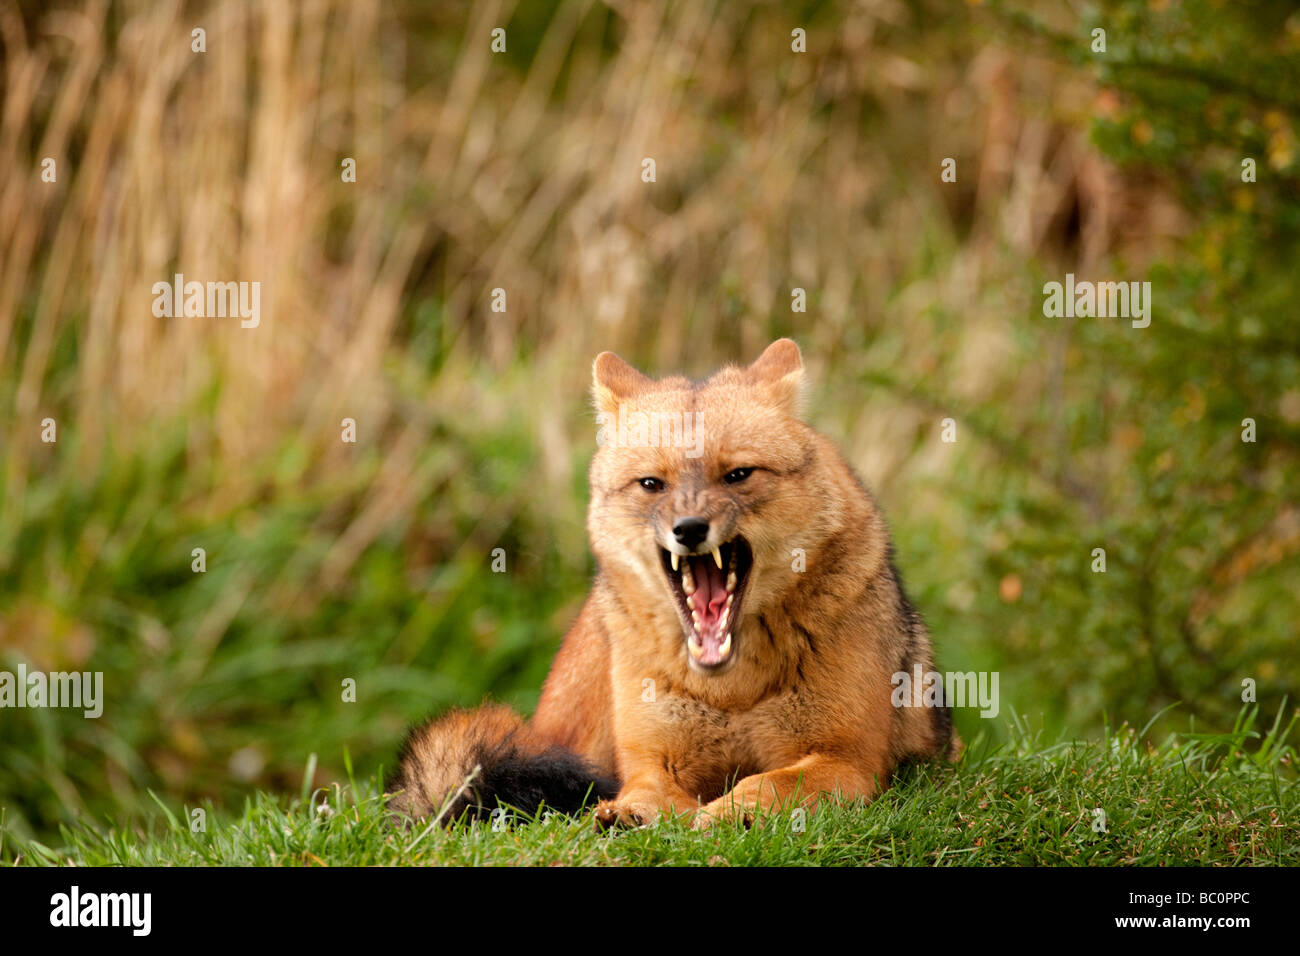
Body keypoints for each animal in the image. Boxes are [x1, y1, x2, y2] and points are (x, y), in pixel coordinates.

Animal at [386, 339, 960, 829]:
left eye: (738, 475)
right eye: (651, 484)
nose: (689, 529)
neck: (731, 689)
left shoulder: (849, 760)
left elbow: (769, 783)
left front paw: (732, 813)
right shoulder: (652, 763)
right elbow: (643, 794)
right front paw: (629, 815)